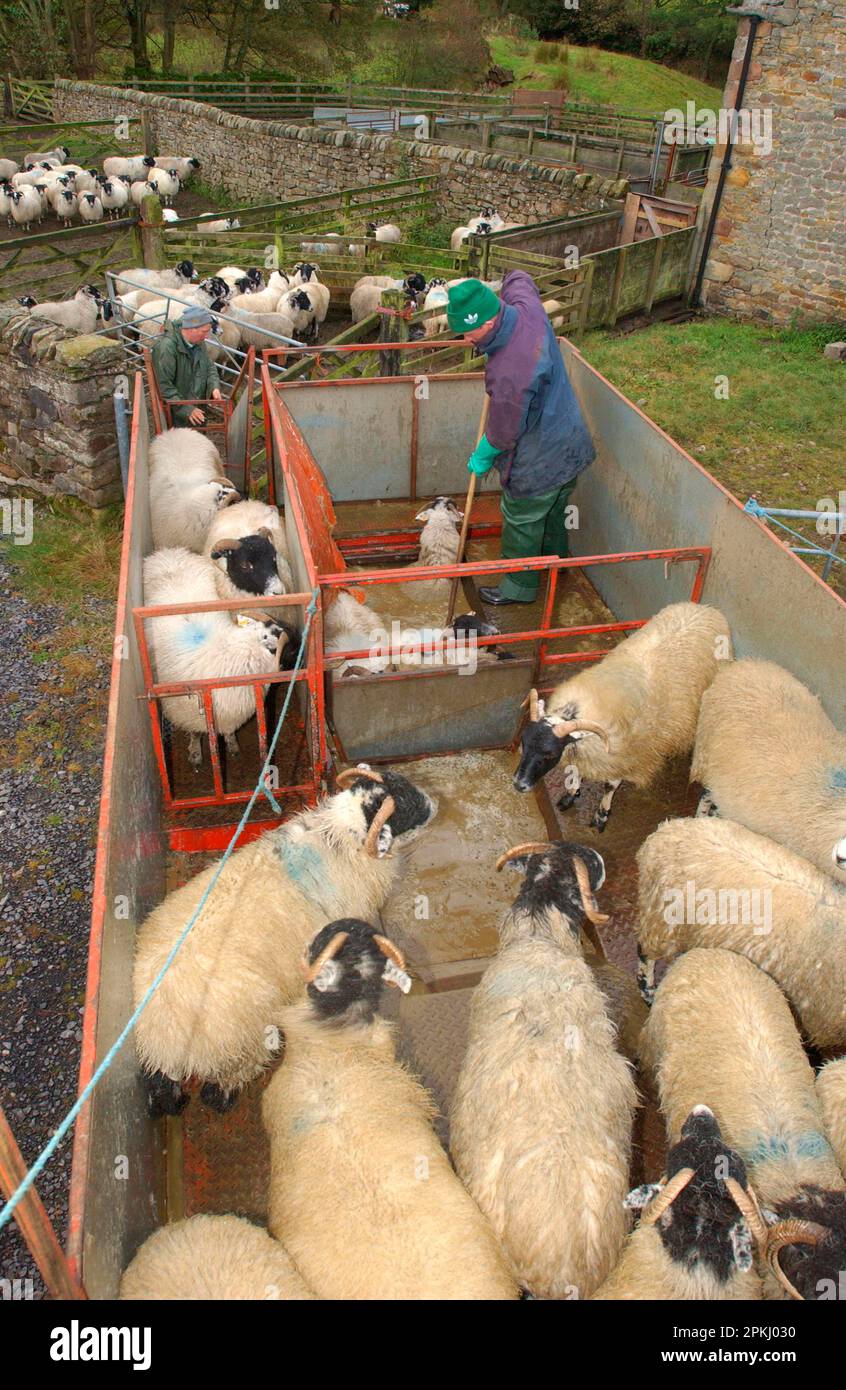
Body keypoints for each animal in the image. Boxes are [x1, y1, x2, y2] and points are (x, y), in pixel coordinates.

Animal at [133, 765, 438, 1116]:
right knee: (224, 1083)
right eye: (404, 805)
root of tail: (164, 1036)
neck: (339, 837)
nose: (435, 804)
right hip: (243, 1041)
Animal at [513, 601, 732, 831]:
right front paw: (571, 794)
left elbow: (610, 785)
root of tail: (706, 608)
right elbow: (577, 769)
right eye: (524, 743)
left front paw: (602, 814)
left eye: (549, 754)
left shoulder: (627, 755)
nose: (519, 785)